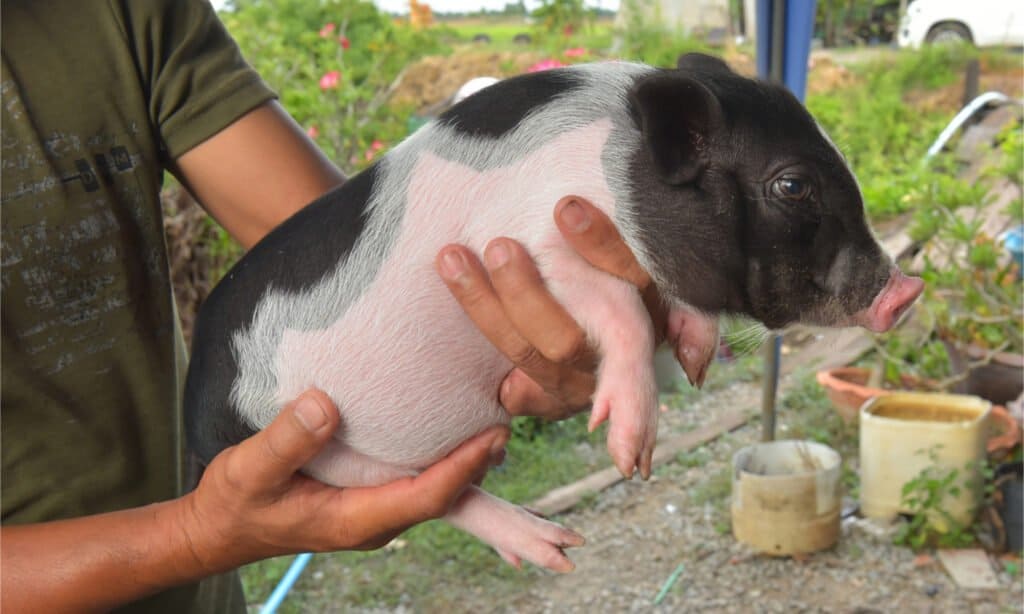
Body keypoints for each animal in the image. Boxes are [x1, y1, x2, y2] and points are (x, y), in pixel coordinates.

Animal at [185, 53, 923, 573]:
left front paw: (692, 357)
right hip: (319, 449)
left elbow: (674, 306)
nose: (907, 290)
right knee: (437, 495)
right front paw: (631, 453)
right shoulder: (527, 244)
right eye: (792, 185)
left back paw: (558, 547)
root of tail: (196, 409)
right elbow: (624, 311)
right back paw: (555, 548)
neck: (616, 170)